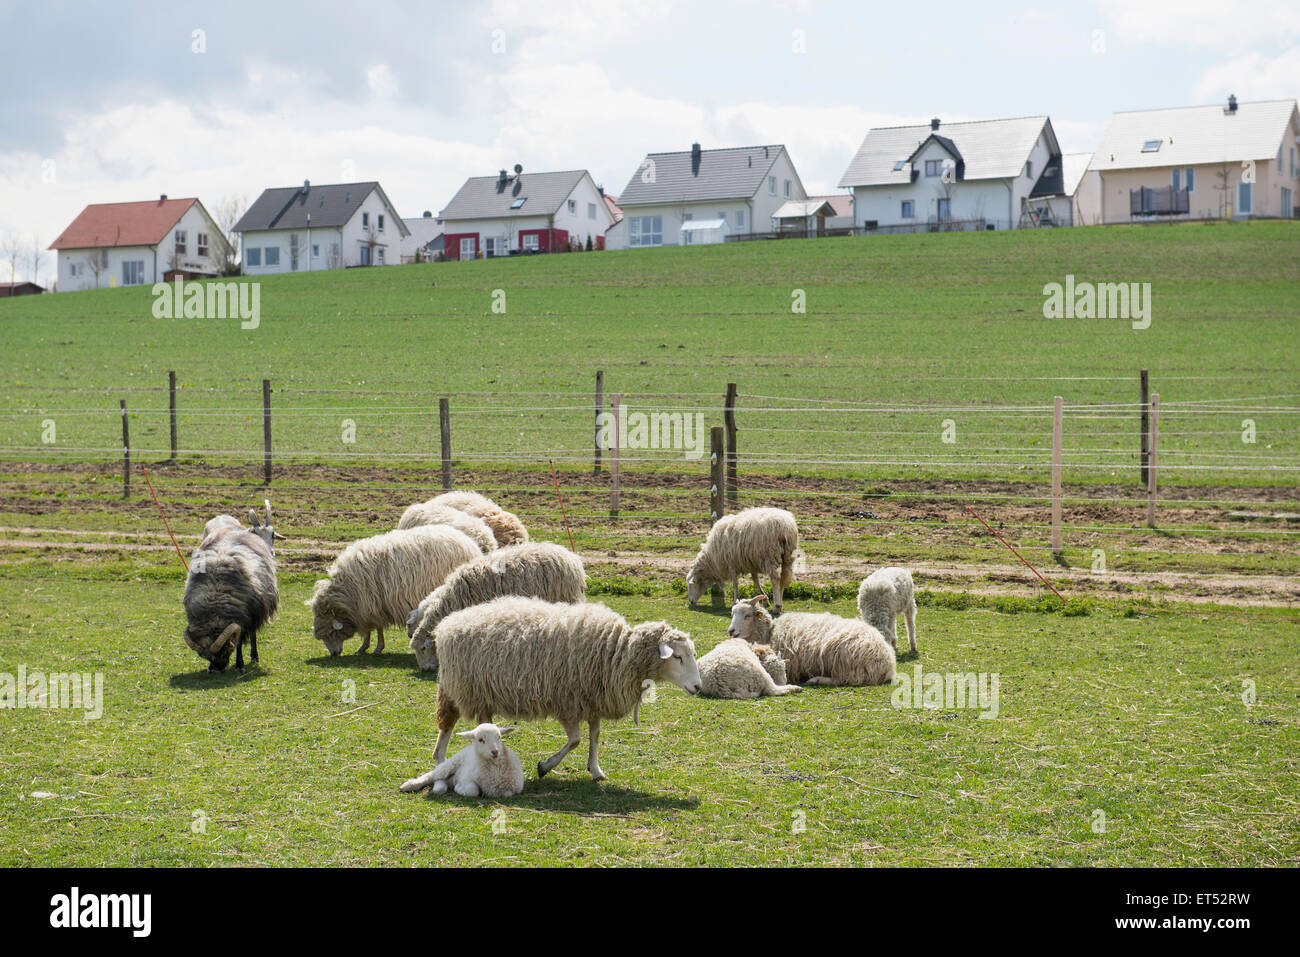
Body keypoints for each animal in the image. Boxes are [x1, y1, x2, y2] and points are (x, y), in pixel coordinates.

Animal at [184, 513, 279, 673]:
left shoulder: (245, 616)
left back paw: (254, 656)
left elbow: (239, 641)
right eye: (203, 656)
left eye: (226, 648)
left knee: (253, 633)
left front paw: (240, 664)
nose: (219, 668)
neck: (215, 594)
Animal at [306, 525, 479, 656]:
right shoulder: (370, 608)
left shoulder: (369, 607)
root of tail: (469, 543)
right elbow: (374, 629)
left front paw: (372, 648)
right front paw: (367, 647)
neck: (347, 593)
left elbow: (374, 629)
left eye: (330, 632)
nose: (334, 654)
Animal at [429, 597, 701, 781]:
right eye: (677, 657)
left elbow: (594, 736)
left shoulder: (592, 701)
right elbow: (575, 740)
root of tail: (446, 625)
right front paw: (545, 766)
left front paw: (596, 769)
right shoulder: (568, 703)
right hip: (460, 687)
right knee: (447, 723)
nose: (698, 686)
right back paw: (440, 760)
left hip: (481, 694)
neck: (617, 653)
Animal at [727, 596, 895, 686]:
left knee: (844, 679)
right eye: (732, 614)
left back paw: (815, 680)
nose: (731, 631)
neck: (770, 632)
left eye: (747, 615)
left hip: (843, 660)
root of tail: (888, 661)